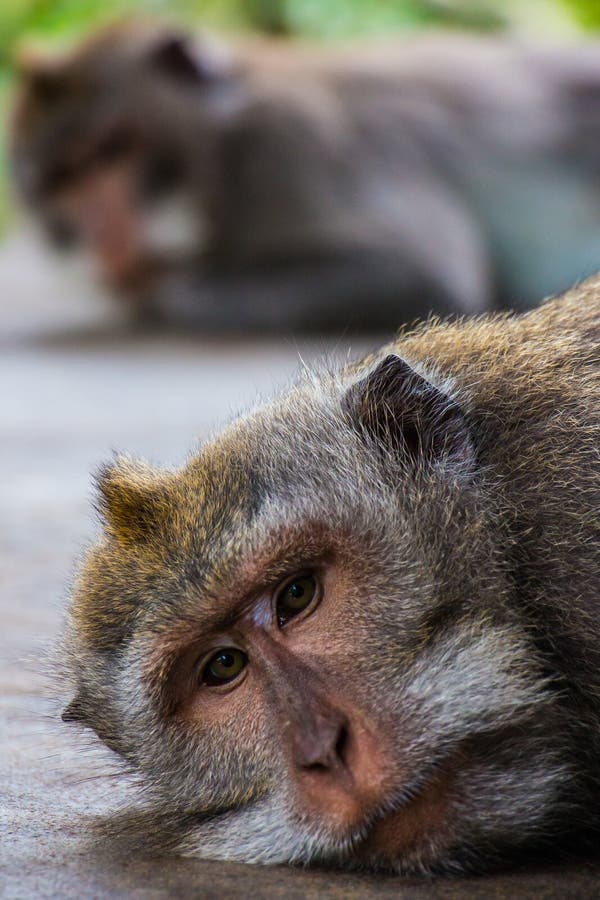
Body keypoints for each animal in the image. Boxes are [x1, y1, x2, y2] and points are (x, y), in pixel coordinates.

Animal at [11, 20, 600, 332]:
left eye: (110, 150)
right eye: (64, 177)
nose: (103, 231)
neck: (223, 151)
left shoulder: (295, 149)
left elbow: (428, 270)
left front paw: (160, 291)